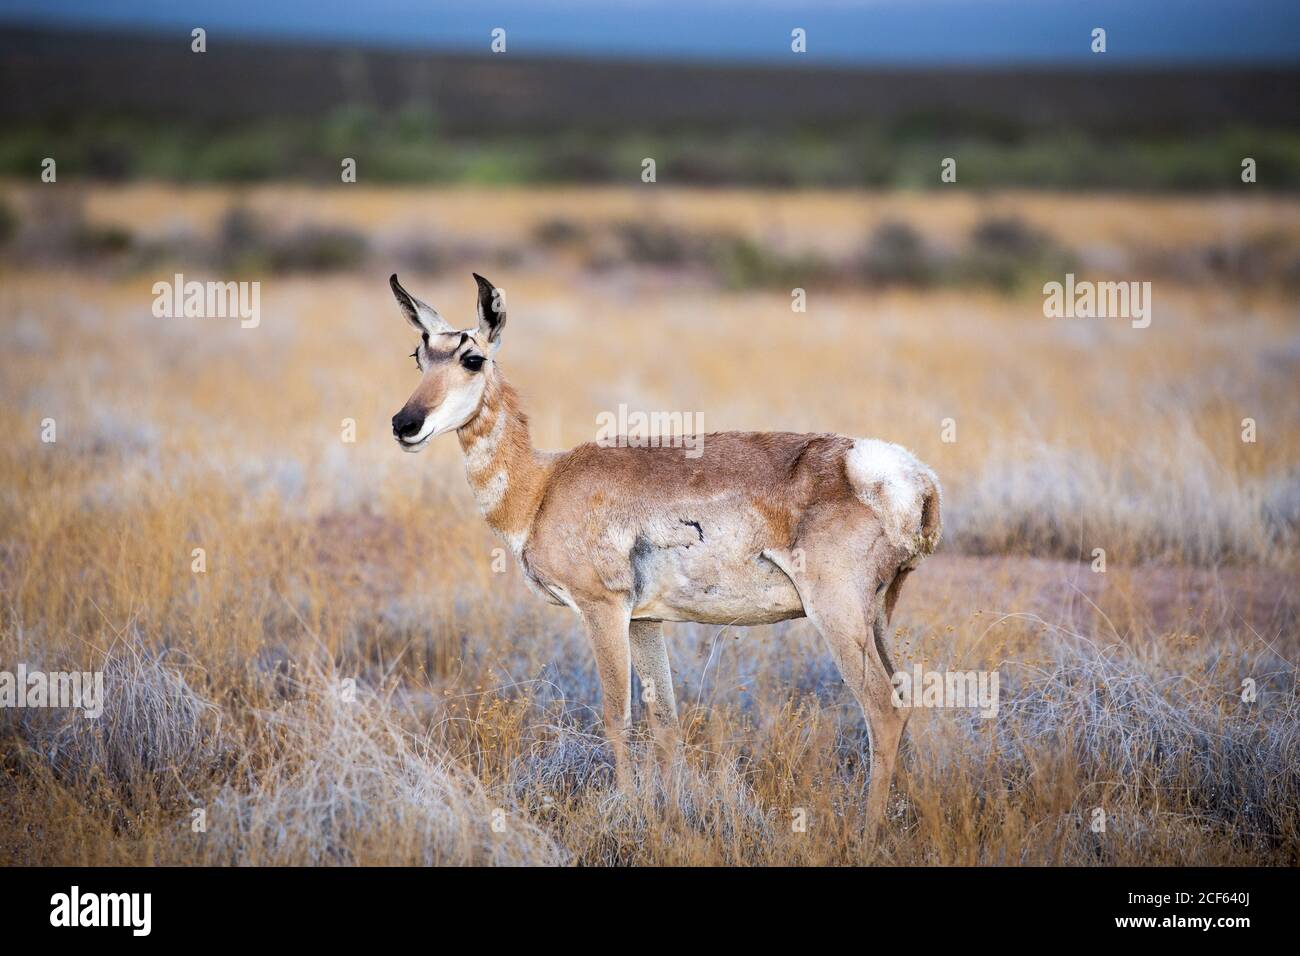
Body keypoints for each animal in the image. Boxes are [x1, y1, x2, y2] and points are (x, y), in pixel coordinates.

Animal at [388, 273, 942, 834]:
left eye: (472, 357)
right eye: (419, 354)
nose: (405, 423)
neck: (543, 484)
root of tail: (906, 474)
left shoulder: (603, 610)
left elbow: (618, 716)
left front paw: (628, 810)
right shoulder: (645, 621)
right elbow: (666, 721)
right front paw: (672, 815)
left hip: (837, 616)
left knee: (883, 710)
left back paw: (868, 832)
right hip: (878, 617)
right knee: (906, 699)